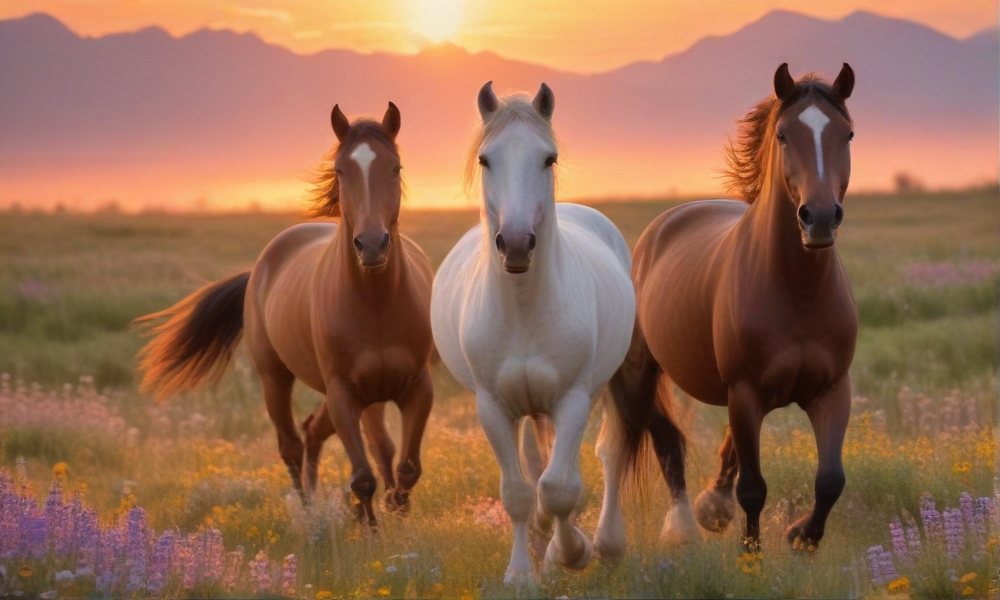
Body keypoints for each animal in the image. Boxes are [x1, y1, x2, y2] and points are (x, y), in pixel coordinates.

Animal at [135, 102, 435, 527]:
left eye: (395, 168)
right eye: (340, 170)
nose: (372, 245)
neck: (376, 302)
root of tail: (261, 265)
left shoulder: (417, 388)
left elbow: (407, 467)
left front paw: (396, 519)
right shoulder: (343, 393)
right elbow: (363, 478)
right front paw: (372, 532)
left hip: (366, 395)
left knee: (322, 434)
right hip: (275, 378)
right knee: (292, 444)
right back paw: (308, 514)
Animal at [430, 82, 636, 585]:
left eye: (549, 158)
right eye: (486, 159)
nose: (517, 243)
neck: (524, 310)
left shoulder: (573, 399)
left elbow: (560, 487)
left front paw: (572, 552)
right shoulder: (493, 407)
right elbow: (520, 492)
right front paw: (522, 572)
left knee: (609, 454)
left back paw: (605, 544)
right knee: (537, 465)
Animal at [609, 63, 858, 552]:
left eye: (848, 134)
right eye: (783, 135)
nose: (819, 218)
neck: (798, 291)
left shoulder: (831, 390)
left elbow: (831, 480)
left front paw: (802, 537)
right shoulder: (745, 391)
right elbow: (754, 488)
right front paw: (751, 555)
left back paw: (710, 507)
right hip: (641, 375)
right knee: (664, 439)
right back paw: (684, 527)